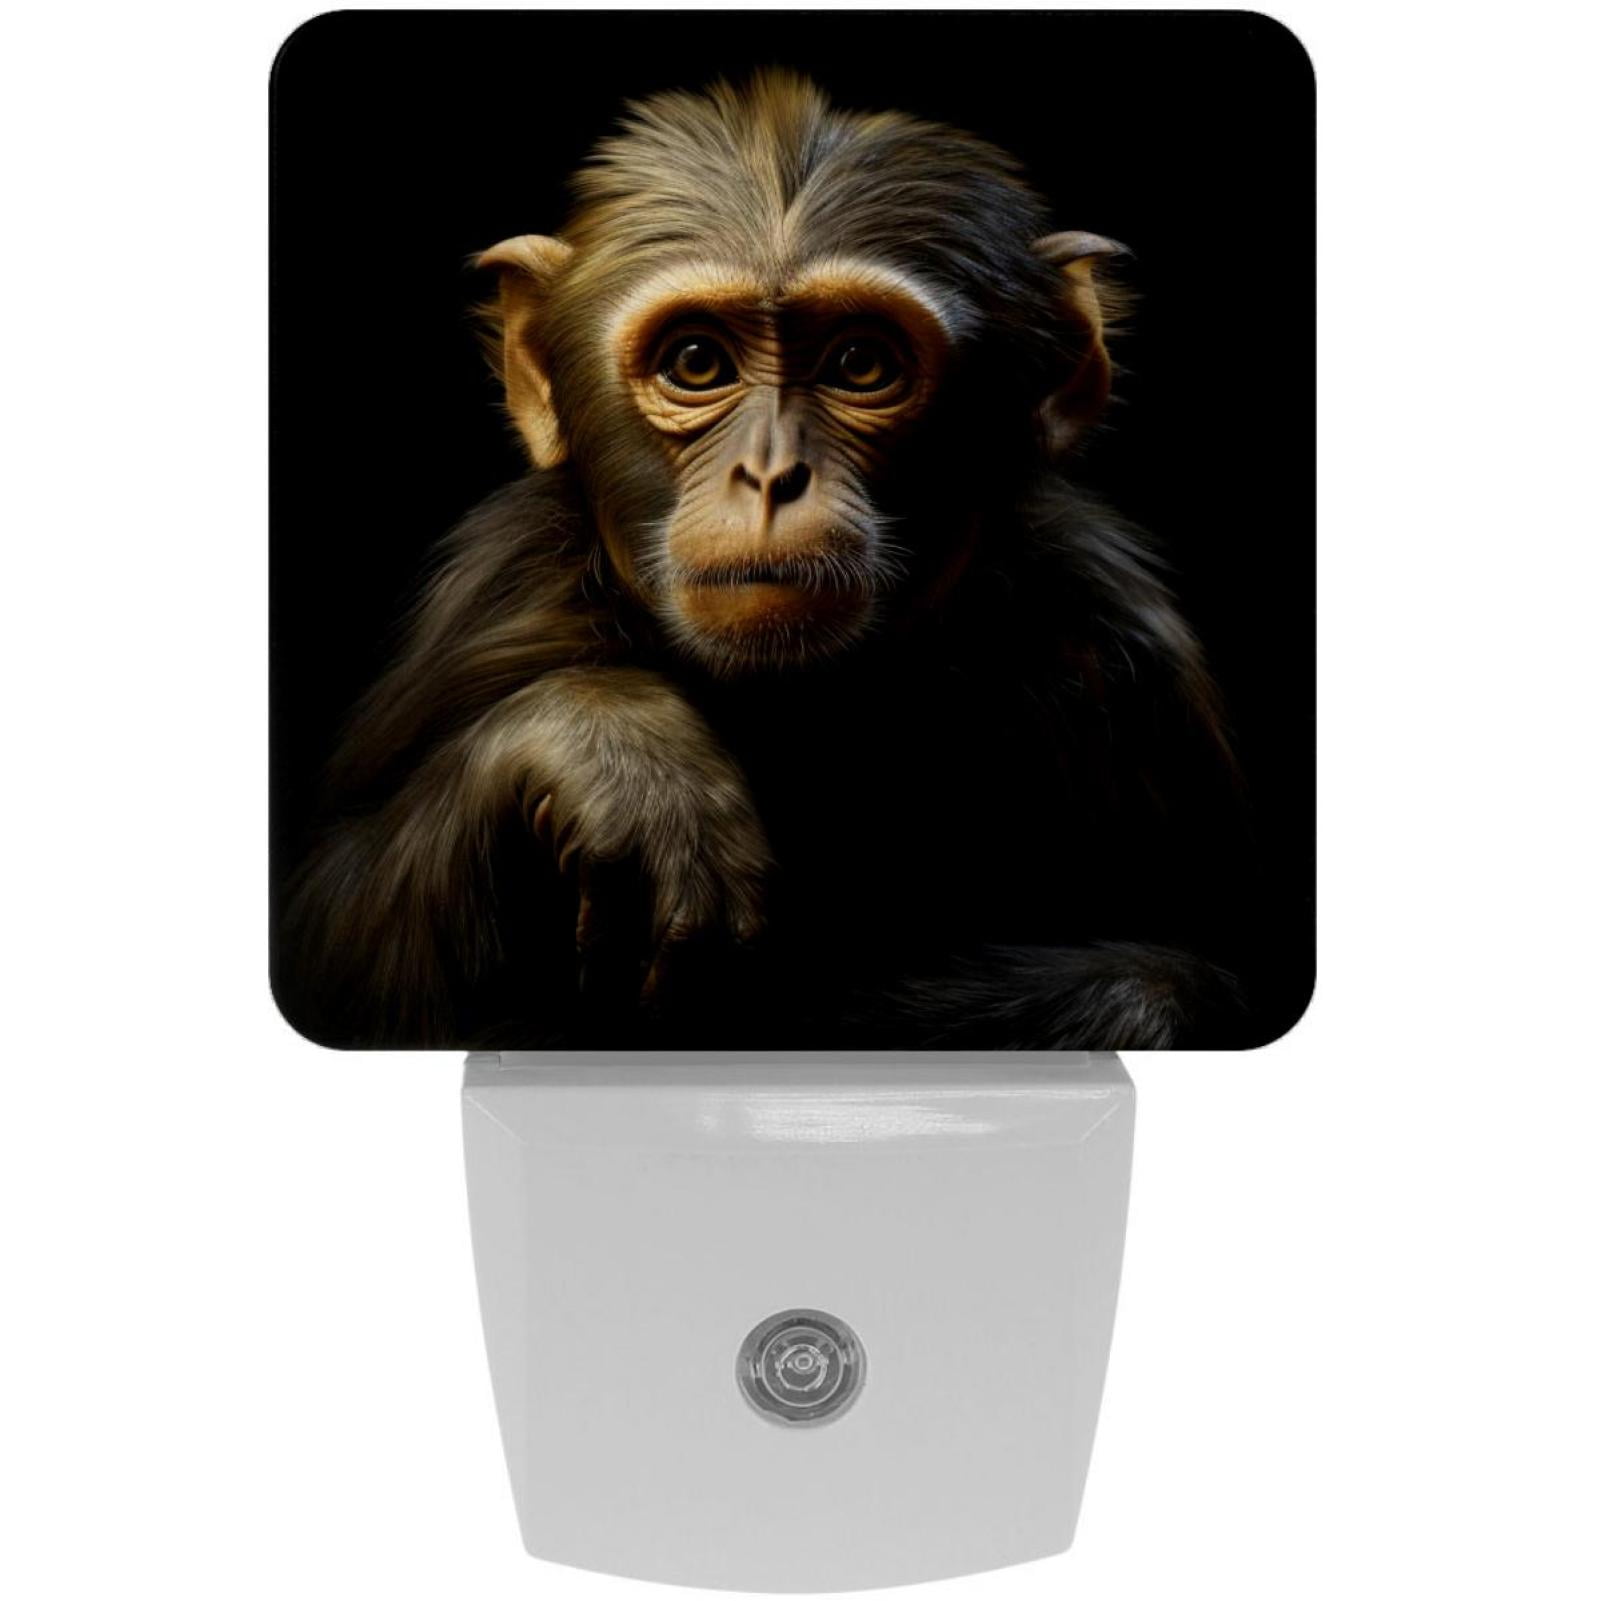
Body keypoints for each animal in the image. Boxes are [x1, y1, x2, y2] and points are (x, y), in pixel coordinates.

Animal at [277, 70, 1261, 1051]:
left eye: (859, 363)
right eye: (696, 361)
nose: (769, 475)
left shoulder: (1117, 648)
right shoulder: (502, 601)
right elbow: (336, 927)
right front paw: (614, 749)